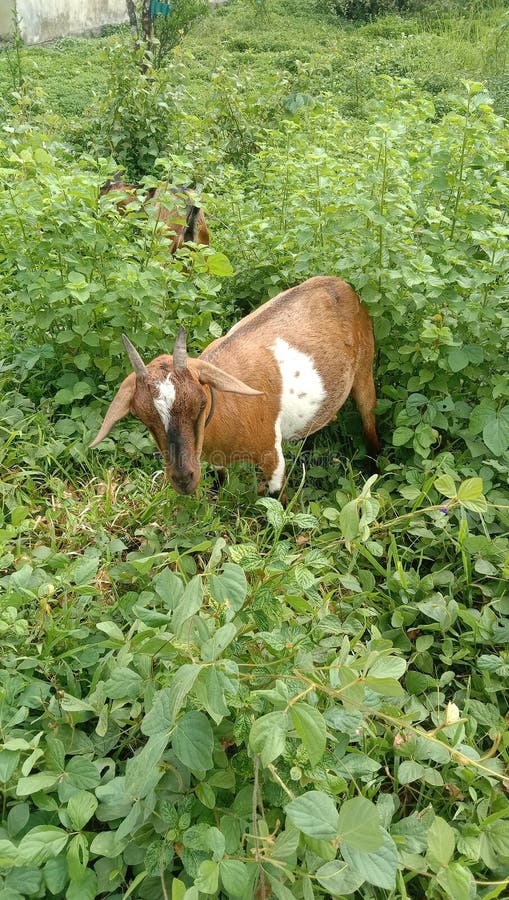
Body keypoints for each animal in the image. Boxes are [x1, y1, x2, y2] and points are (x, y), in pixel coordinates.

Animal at [90, 276, 380, 496]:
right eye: (141, 416)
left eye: (201, 404)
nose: (183, 479)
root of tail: (341, 284)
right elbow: (220, 480)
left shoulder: (271, 455)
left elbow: (277, 505)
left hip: (364, 370)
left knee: (369, 417)